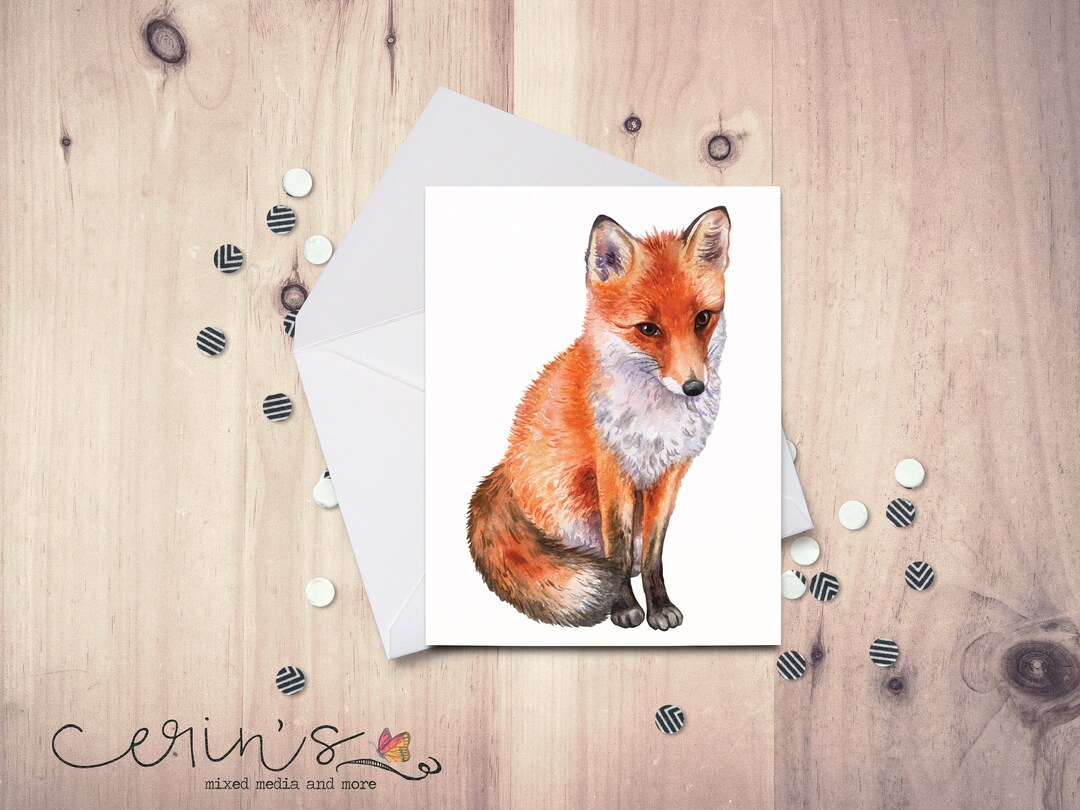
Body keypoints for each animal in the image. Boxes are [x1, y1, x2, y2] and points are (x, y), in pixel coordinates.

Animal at [467, 206, 731, 630]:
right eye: (648, 329)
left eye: (702, 319)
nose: (694, 387)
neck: (655, 423)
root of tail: (504, 469)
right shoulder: (610, 468)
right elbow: (616, 549)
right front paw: (623, 606)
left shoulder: (669, 475)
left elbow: (653, 553)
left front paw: (658, 605)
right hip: (571, 503)